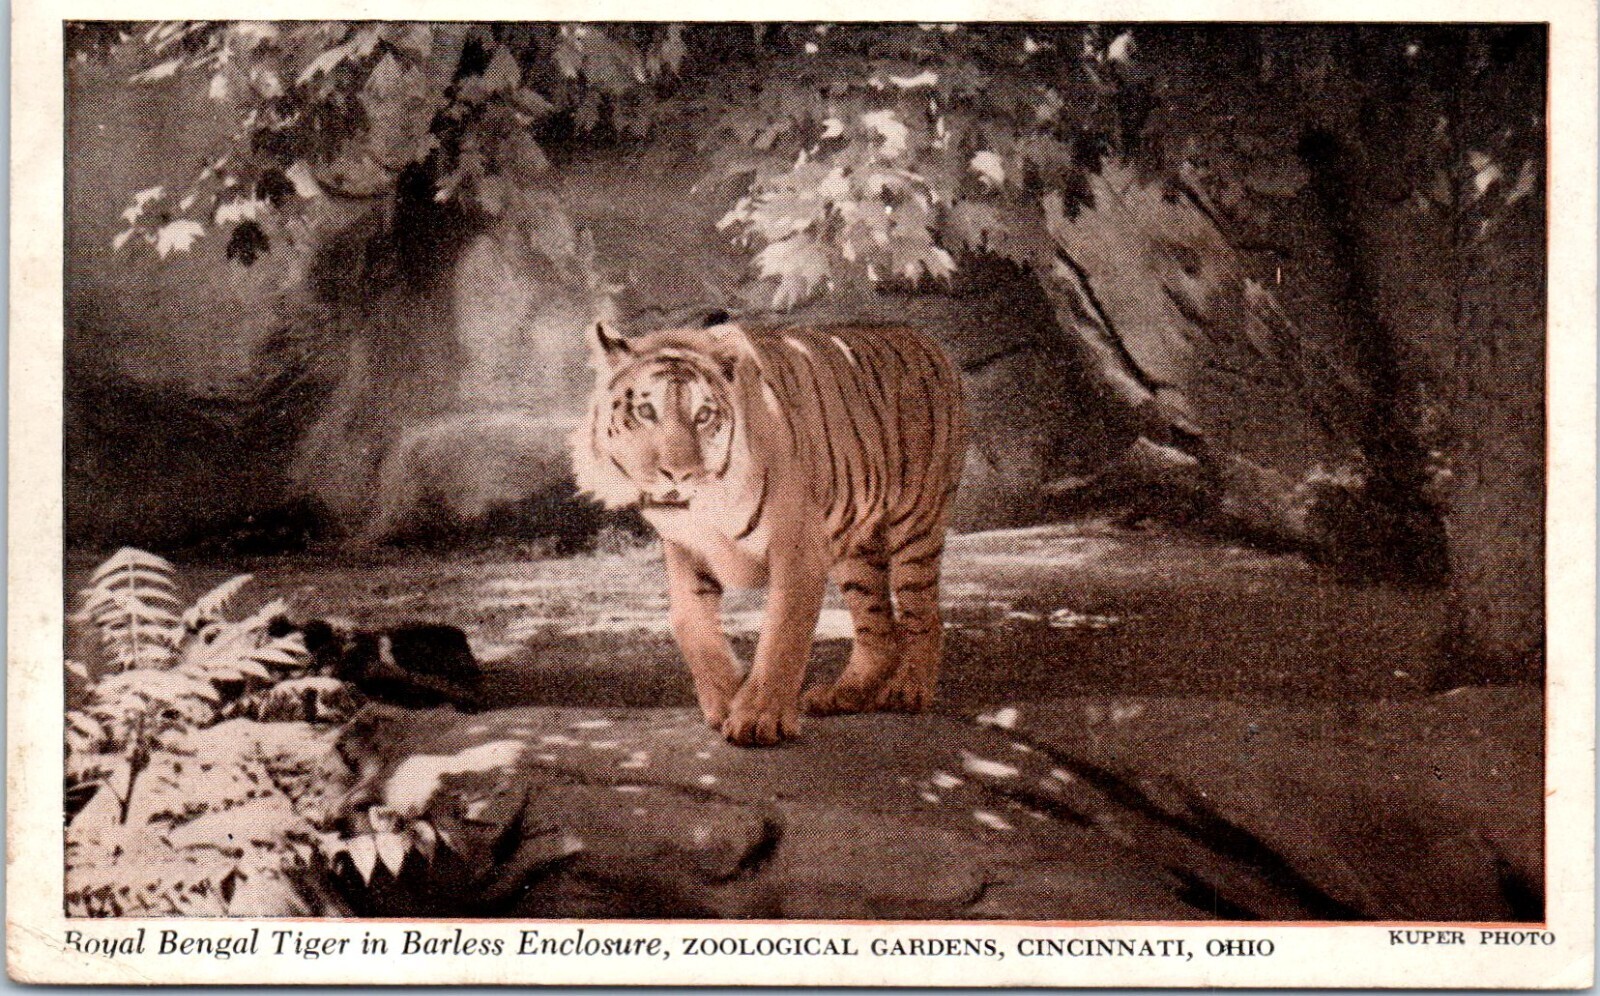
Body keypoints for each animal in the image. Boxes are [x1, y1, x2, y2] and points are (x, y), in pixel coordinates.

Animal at [572, 318, 965, 746]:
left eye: (703, 415)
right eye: (646, 411)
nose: (679, 474)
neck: (706, 507)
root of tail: (925, 339)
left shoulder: (798, 545)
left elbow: (782, 633)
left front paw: (759, 718)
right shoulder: (687, 547)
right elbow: (690, 623)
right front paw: (726, 699)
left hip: (917, 525)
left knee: (923, 614)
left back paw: (908, 689)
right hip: (854, 551)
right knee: (876, 626)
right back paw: (843, 694)